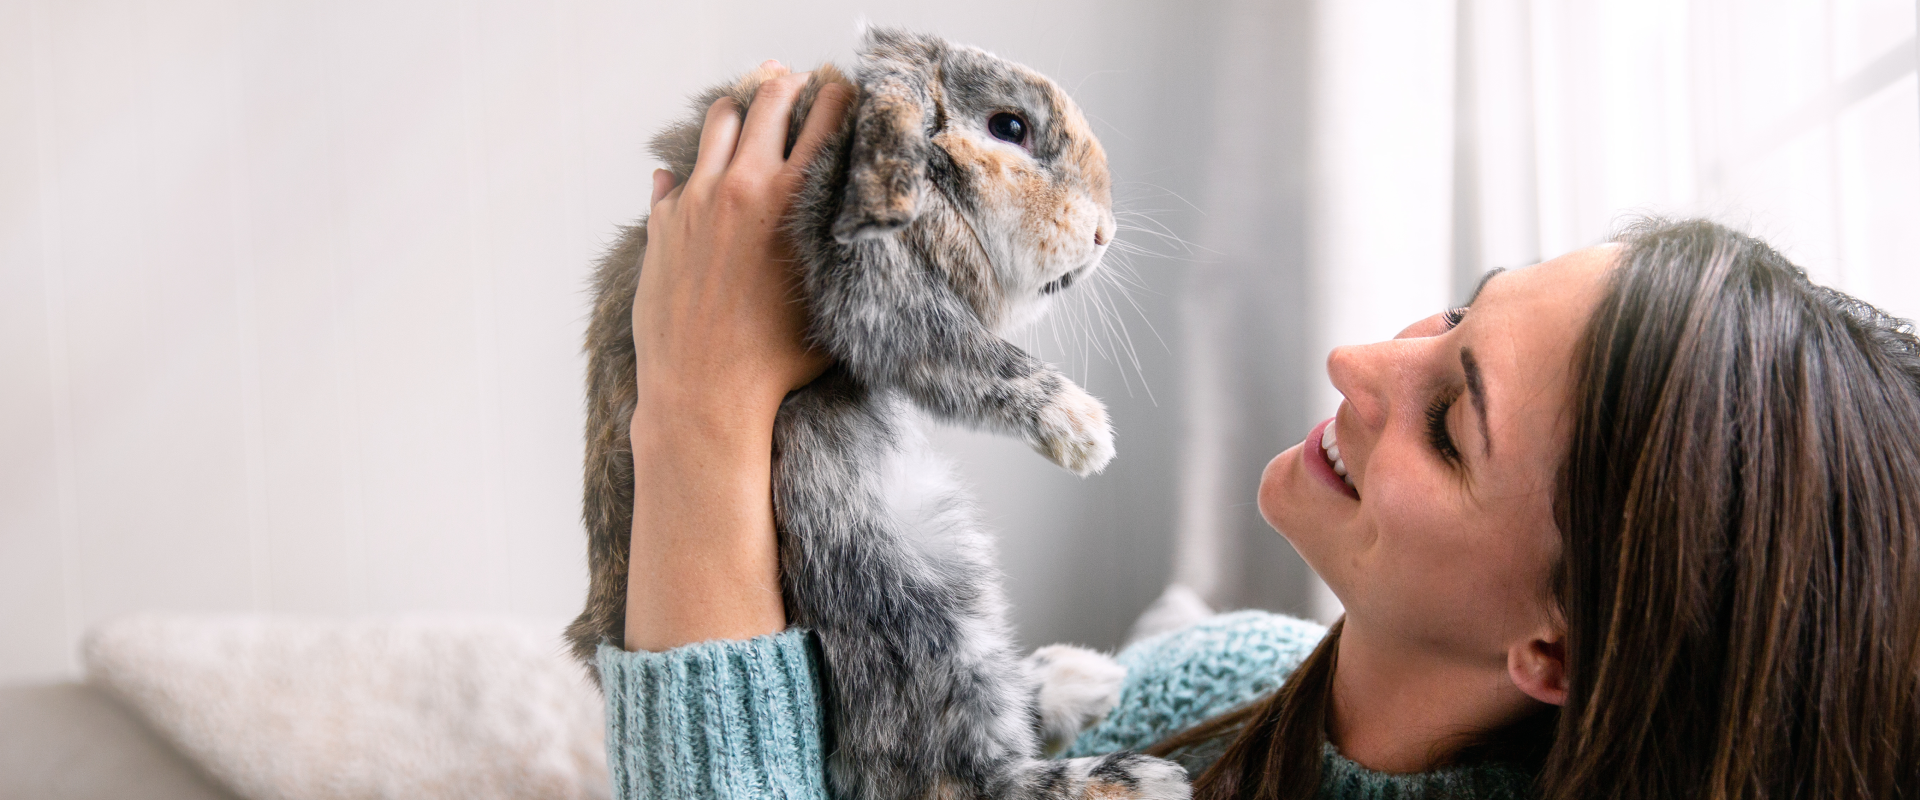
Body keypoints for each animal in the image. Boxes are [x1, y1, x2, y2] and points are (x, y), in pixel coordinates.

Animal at [566, 27, 1190, 800]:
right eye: (1009, 128)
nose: (1104, 232)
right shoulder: (873, 294)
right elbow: (971, 357)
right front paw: (1085, 434)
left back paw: (1086, 679)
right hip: (908, 597)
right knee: (963, 771)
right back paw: (1135, 773)